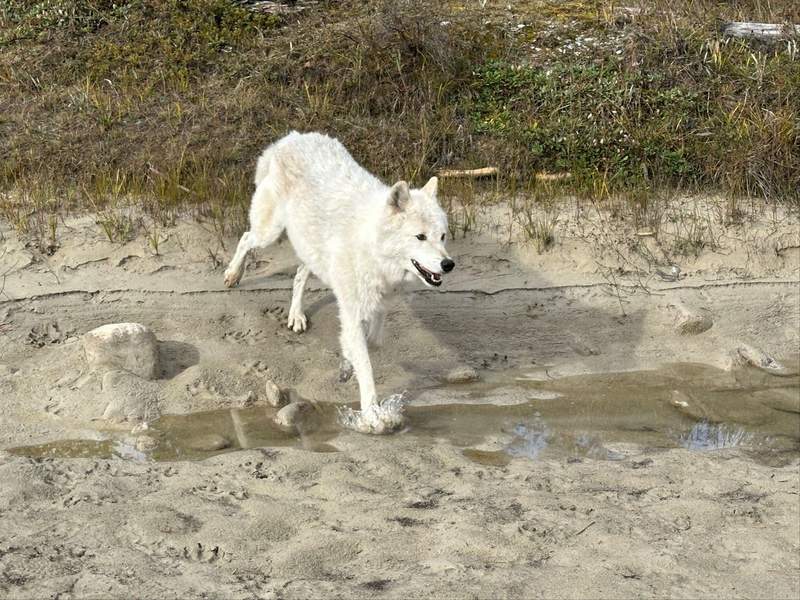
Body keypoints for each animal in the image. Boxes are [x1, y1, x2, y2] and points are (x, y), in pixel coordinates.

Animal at [223, 132, 455, 432]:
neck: (372, 248)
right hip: (269, 233)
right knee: (245, 238)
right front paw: (372, 415)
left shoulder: (378, 305)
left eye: (442, 236)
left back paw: (296, 316)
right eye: (420, 237)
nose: (448, 265)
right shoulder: (353, 310)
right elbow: (366, 365)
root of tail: (290, 138)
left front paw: (346, 366)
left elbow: (372, 342)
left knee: (299, 274)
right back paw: (232, 274)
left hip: (308, 247)